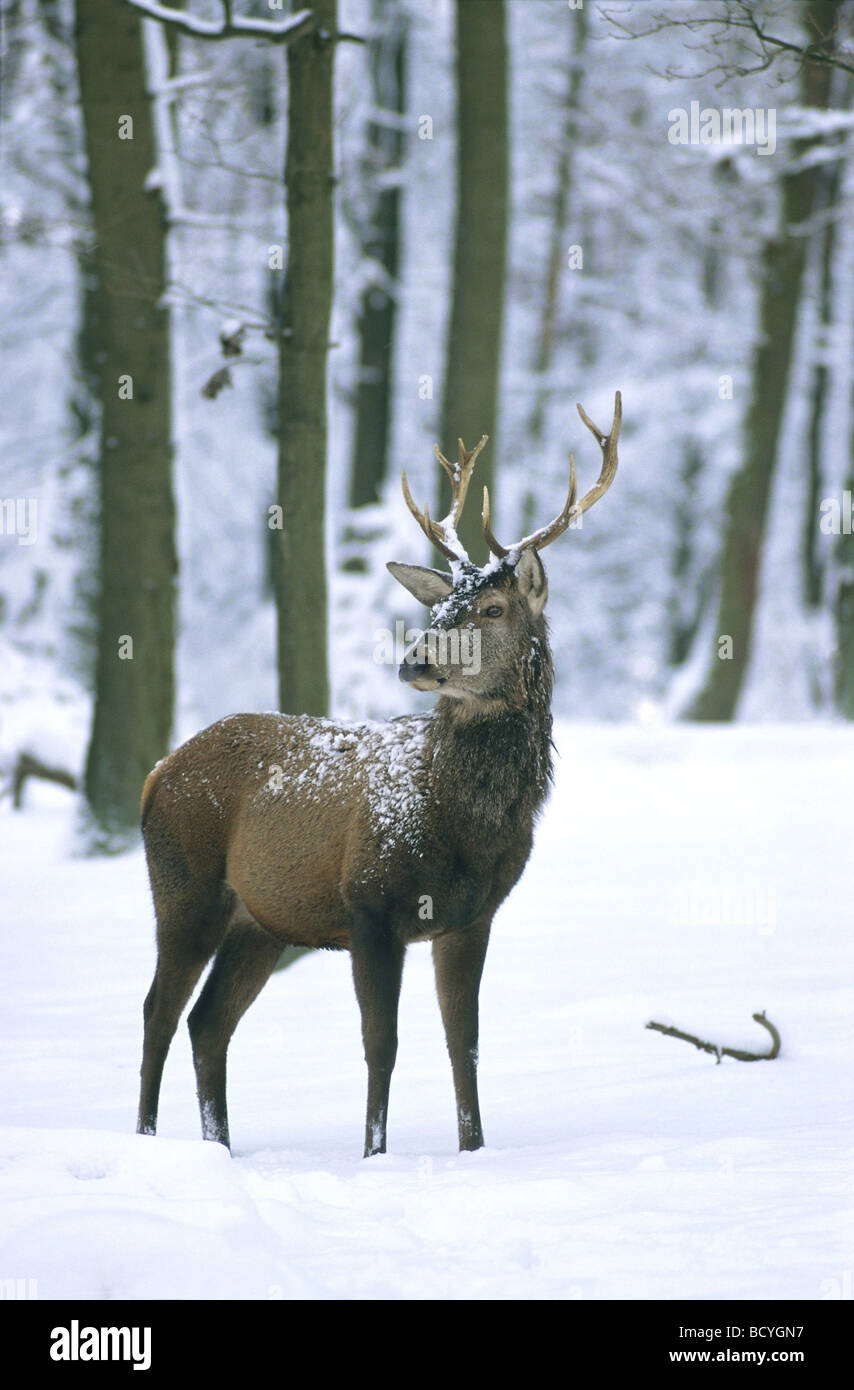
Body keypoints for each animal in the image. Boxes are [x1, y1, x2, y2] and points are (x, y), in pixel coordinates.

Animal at [136, 392, 621, 1157]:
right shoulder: (369, 903)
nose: (413, 660)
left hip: (261, 920)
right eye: (437, 606)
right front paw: (373, 1153)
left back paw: (219, 1145)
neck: (464, 823)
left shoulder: (472, 916)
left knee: (207, 1021)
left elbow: (464, 1040)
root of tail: (156, 774)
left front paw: (474, 1149)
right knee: (158, 1008)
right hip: (184, 885)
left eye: (491, 607)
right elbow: (381, 1042)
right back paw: (148, 1138)